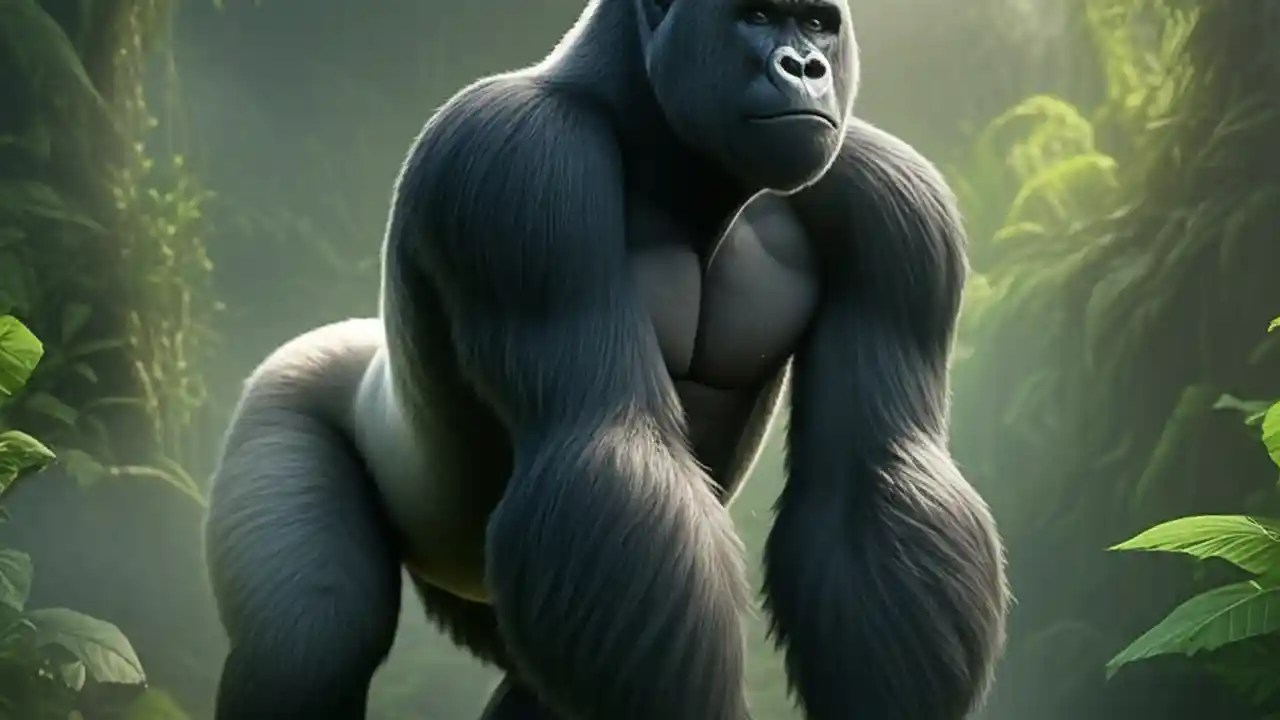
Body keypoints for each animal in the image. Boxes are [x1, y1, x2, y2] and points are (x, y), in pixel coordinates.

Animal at [203, 0, 1010, 718]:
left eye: (817, 23)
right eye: (756, 15)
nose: (805, 67)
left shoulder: (891, 201)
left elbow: (872, 473)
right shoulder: (517, 161)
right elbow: (605, 445)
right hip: (288, 389)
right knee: (312, 642)